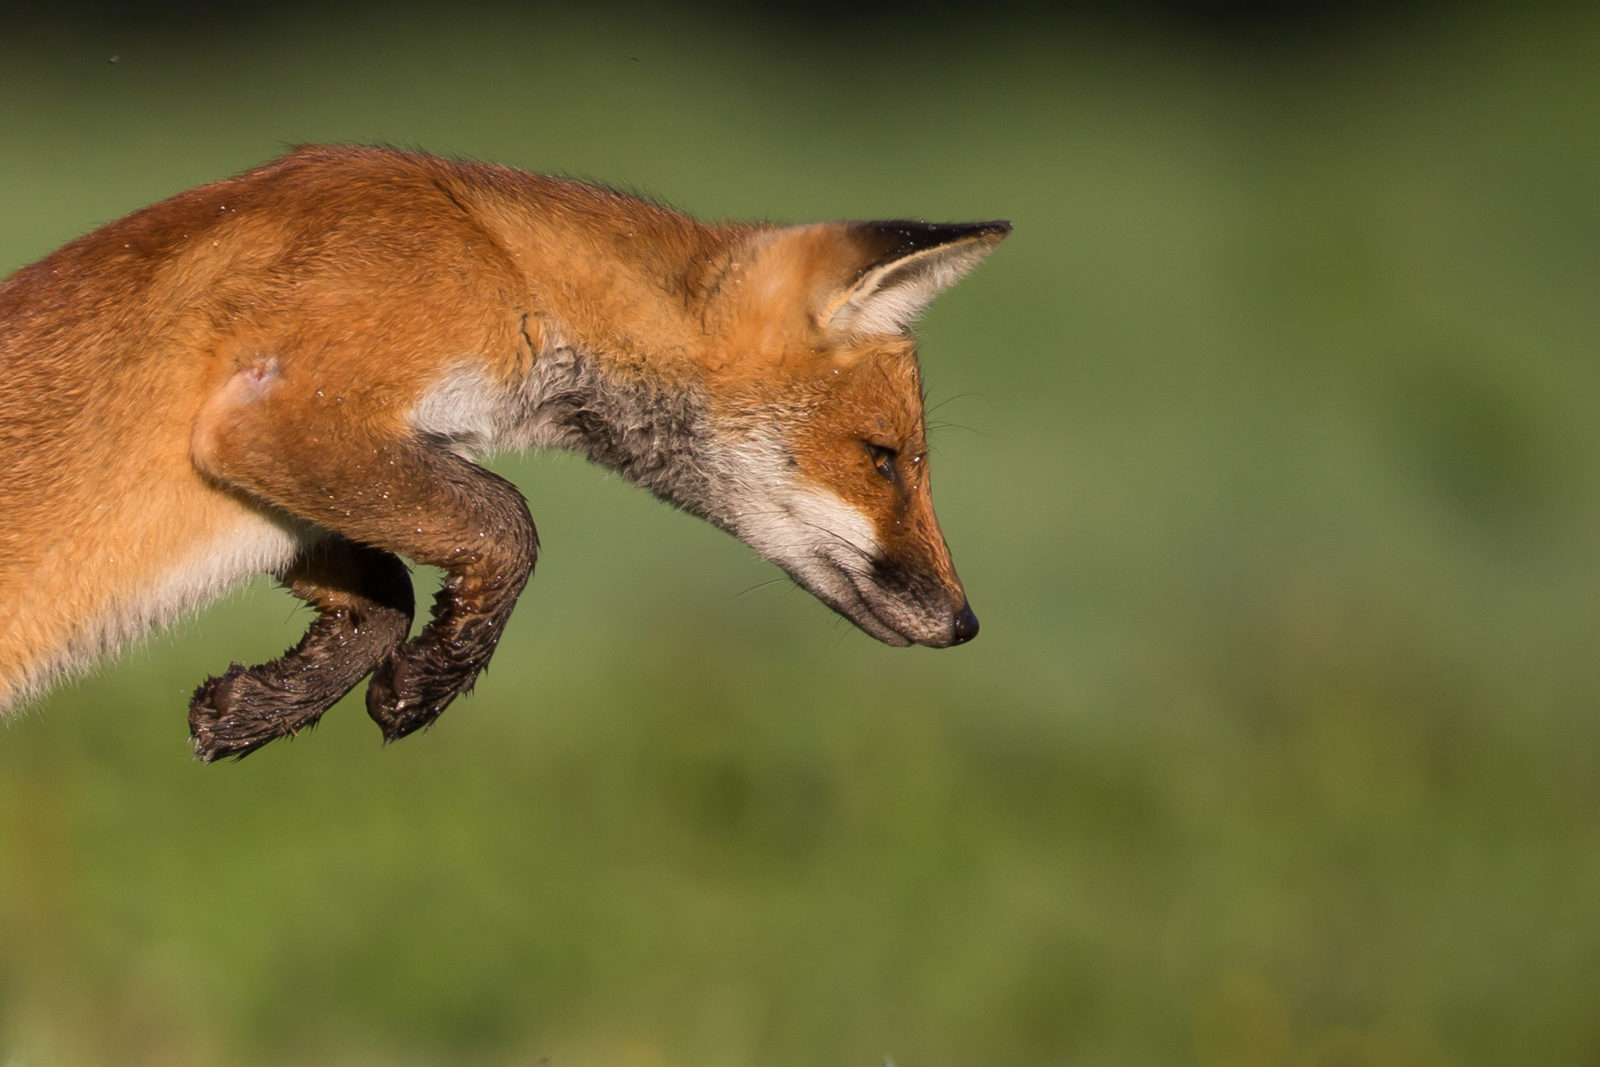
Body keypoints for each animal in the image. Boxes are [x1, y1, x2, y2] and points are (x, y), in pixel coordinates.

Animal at [0, 145, 1008, 760]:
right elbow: (509, 521)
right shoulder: (274, 419)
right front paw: (431, 680)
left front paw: (270, 702)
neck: (503, 262)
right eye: (884, 459)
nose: (966, 624)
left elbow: (387, 592)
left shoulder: (295, 481)